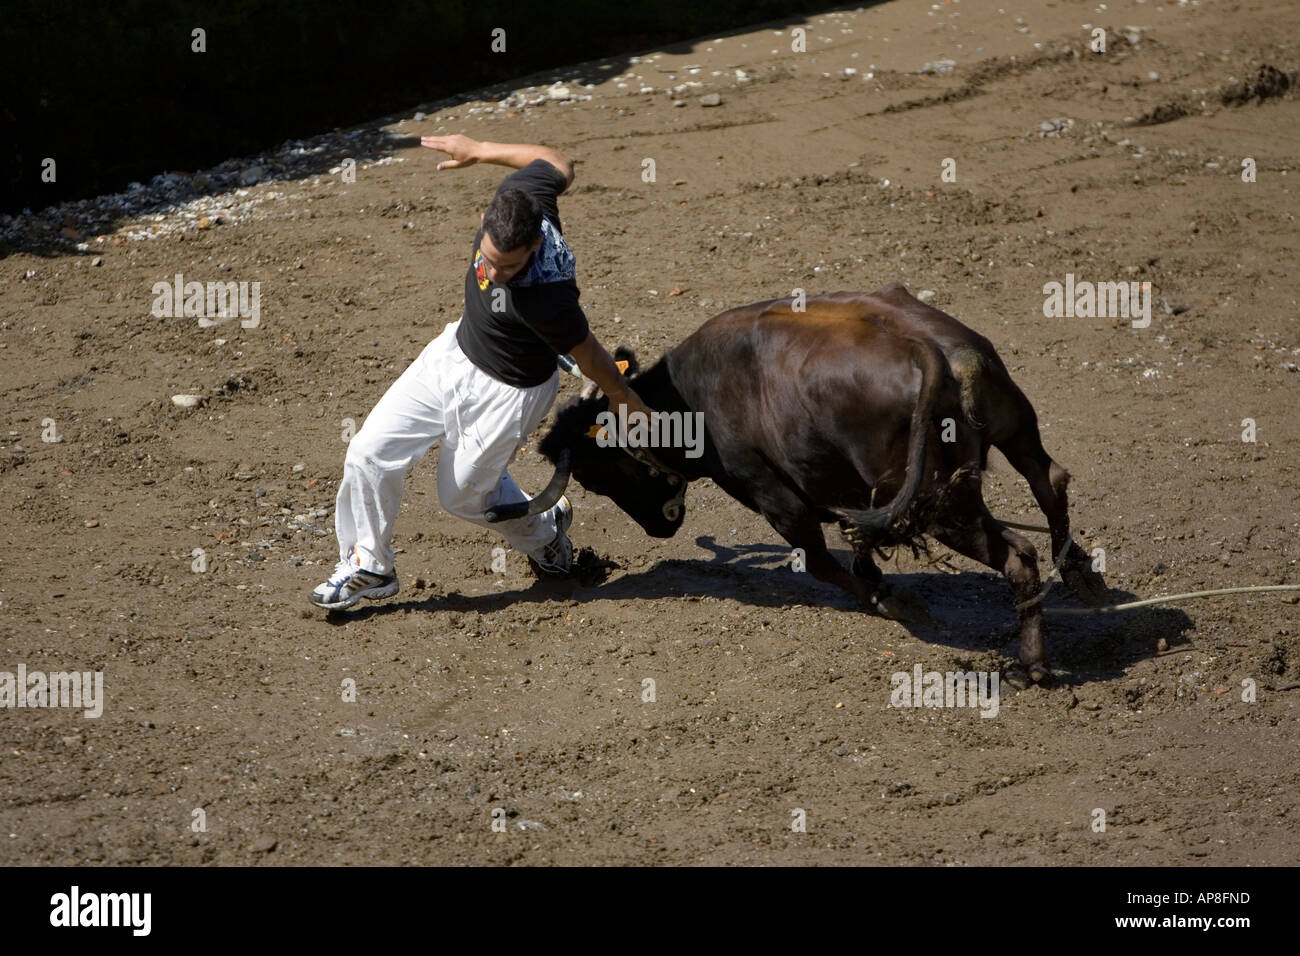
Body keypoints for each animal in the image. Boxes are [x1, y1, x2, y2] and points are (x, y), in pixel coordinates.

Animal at [488, 286, 1109, 682]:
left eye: (597, 476)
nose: (659, 531)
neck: (691, 398)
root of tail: (933, 351)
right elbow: (854, 545)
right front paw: (875, 575)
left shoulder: (774, 496)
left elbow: (818, 560)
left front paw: (892, 599)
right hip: (1012, 430)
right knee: (1050, 481)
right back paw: (1080, 574)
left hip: (942, 506)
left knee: (1019, 553)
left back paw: (1032, 665)